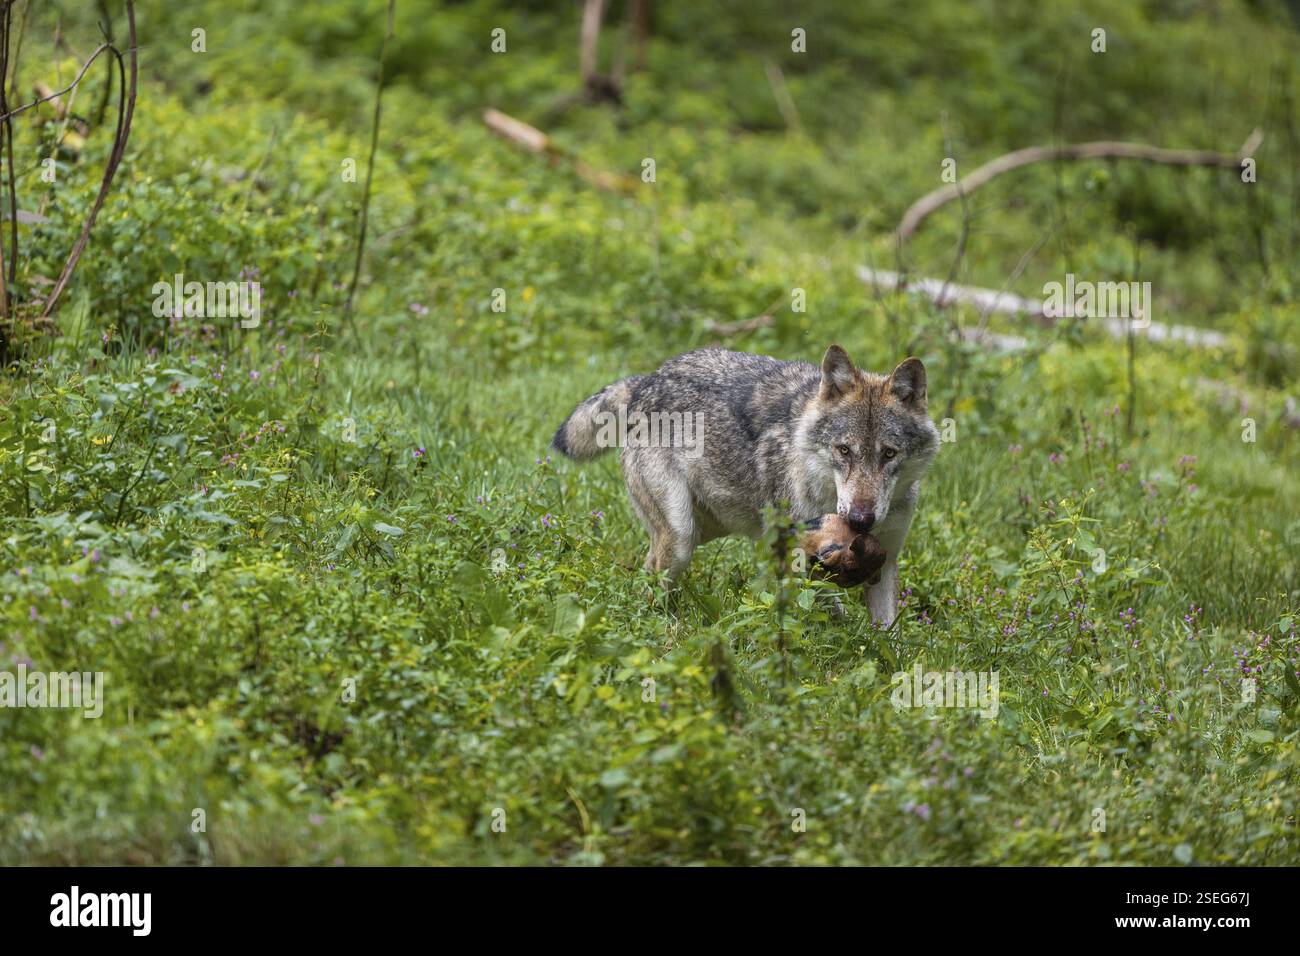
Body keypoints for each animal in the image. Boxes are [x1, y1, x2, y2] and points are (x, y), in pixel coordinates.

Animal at [551, 345, 939, 625]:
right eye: (844, 450)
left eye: (888, 454)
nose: (861, 520)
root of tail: (649, 379)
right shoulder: (796, 555)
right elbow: (829, 611)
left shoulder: (887, 559)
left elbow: (887, 635)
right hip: (681, 538)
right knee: (650, 584)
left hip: (705, 531)